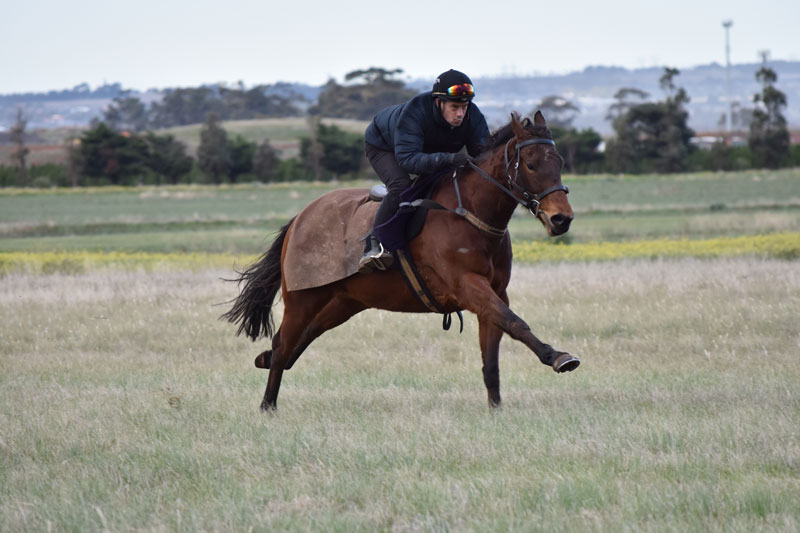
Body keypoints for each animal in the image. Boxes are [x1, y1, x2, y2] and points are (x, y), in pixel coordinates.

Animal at [223, 111, 579, 410]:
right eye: (530, 164)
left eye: (560, 160)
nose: (561, 219)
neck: (469, 213)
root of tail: (300, 217)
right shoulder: (468, 286)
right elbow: (516, 323)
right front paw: (559, 357)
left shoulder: (495, 292)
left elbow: (492, 356)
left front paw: (496, 411)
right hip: (302, 297)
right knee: (284, 345)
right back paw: (267, 406)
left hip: (342, 302)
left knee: (296, 341)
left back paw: (265, 361)